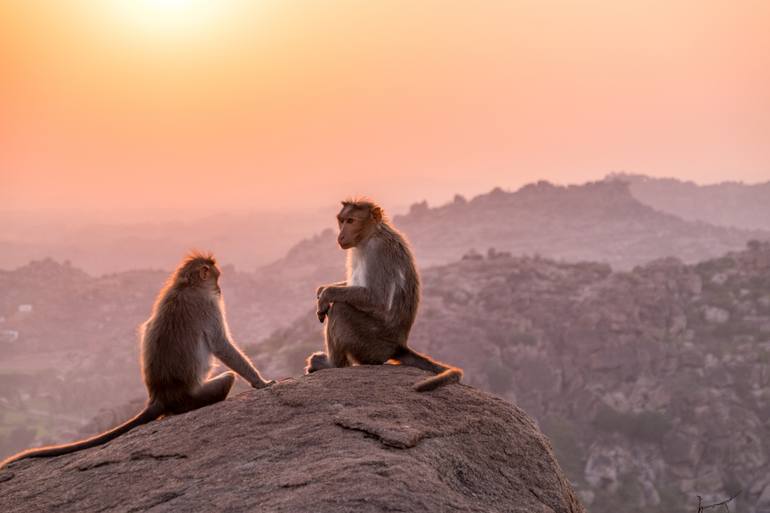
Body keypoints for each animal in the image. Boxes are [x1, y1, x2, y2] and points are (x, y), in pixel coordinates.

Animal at [1, 252, 273, 468]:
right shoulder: (208, 305)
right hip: (194, 396)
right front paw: (261, 382)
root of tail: (160, 397)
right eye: (216, 278)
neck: (185, 285)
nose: (220, 290)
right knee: (227, 378)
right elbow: (220, 344)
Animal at [304, 198, 462, 392]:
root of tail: (398, 346)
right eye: (341, 220)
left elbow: (377, 298)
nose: (340, 236)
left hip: (372, 346)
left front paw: (327, 294)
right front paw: (321, 291)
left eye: (351, 221)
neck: (371, 234)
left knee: (341, 309)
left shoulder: (376, 250)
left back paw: (332, 364)